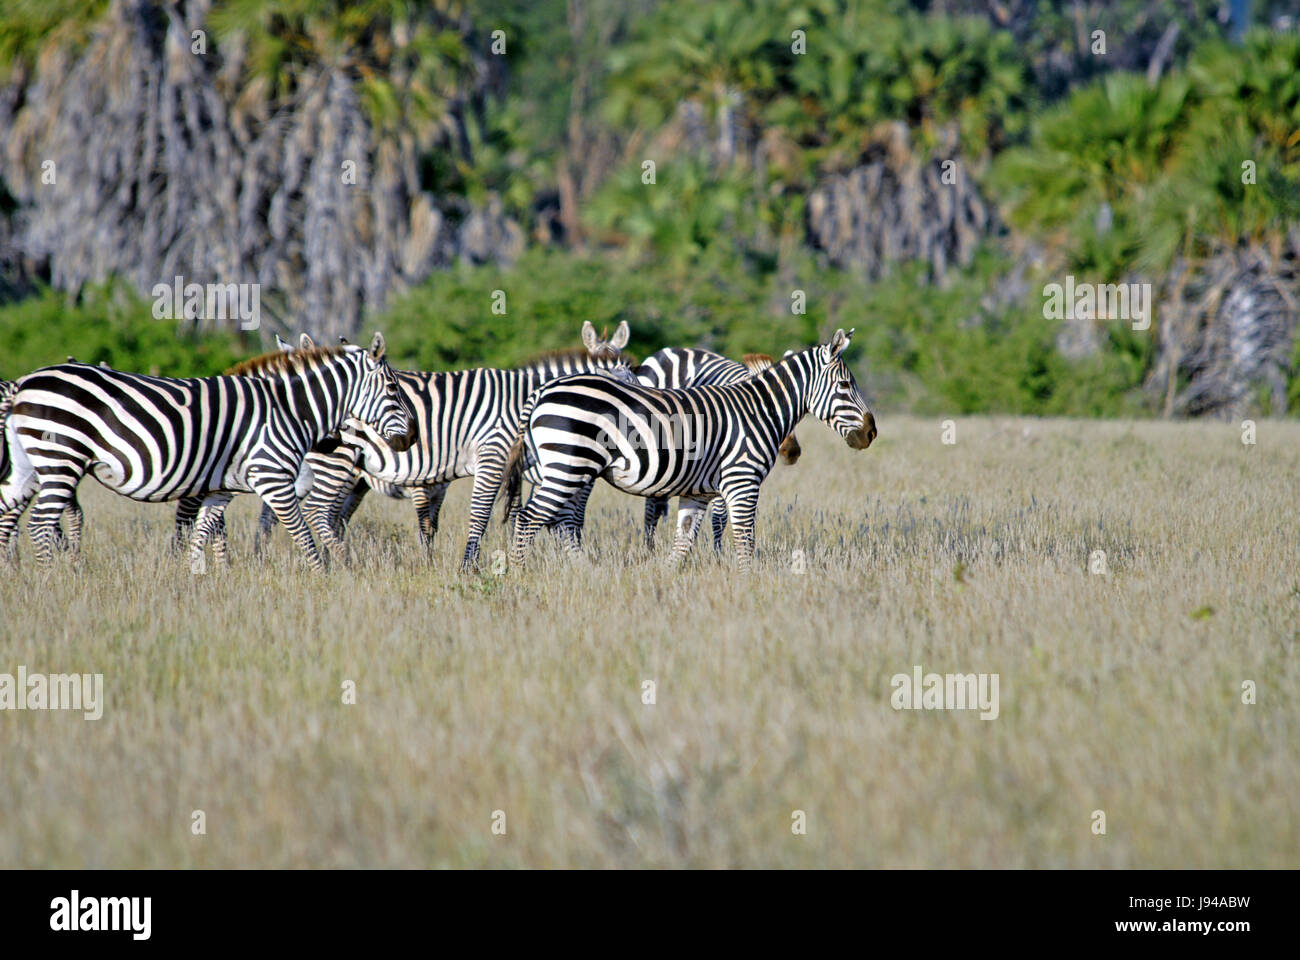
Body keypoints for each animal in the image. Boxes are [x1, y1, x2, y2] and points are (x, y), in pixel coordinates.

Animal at [0, 334, 415, 569]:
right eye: (393, 388)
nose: (411, 438)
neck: (284, 407)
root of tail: (24, 384)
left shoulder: (219, 487)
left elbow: (203, 532)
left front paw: (196, 579)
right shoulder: (272, 479)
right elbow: (302, 534)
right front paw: (325, 577)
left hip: (30, 467)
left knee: (8, 515)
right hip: (61, 461)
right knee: (39, 524)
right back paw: (52, 581)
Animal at [294, 320, 636, 568]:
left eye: (633, 381)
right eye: (614, 388)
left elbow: (548, 517)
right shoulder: (494, 454)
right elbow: (484, 515)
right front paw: (471, 567)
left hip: (353, 476)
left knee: (333, 515)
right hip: (337, 460)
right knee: (317, 510)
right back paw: (337, 563)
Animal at [502, 329, 876, 571]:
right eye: (845, 385)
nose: (871, 433)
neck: (759, 411)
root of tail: (542, 390)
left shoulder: (698, 492)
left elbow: (682, 544)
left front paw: (664, 585)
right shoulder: (742, 482)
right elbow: (745, 542)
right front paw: (748, 588)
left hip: (566, 469)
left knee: (556, 518)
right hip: (567, 466)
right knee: (530, 519)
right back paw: (520, 576)